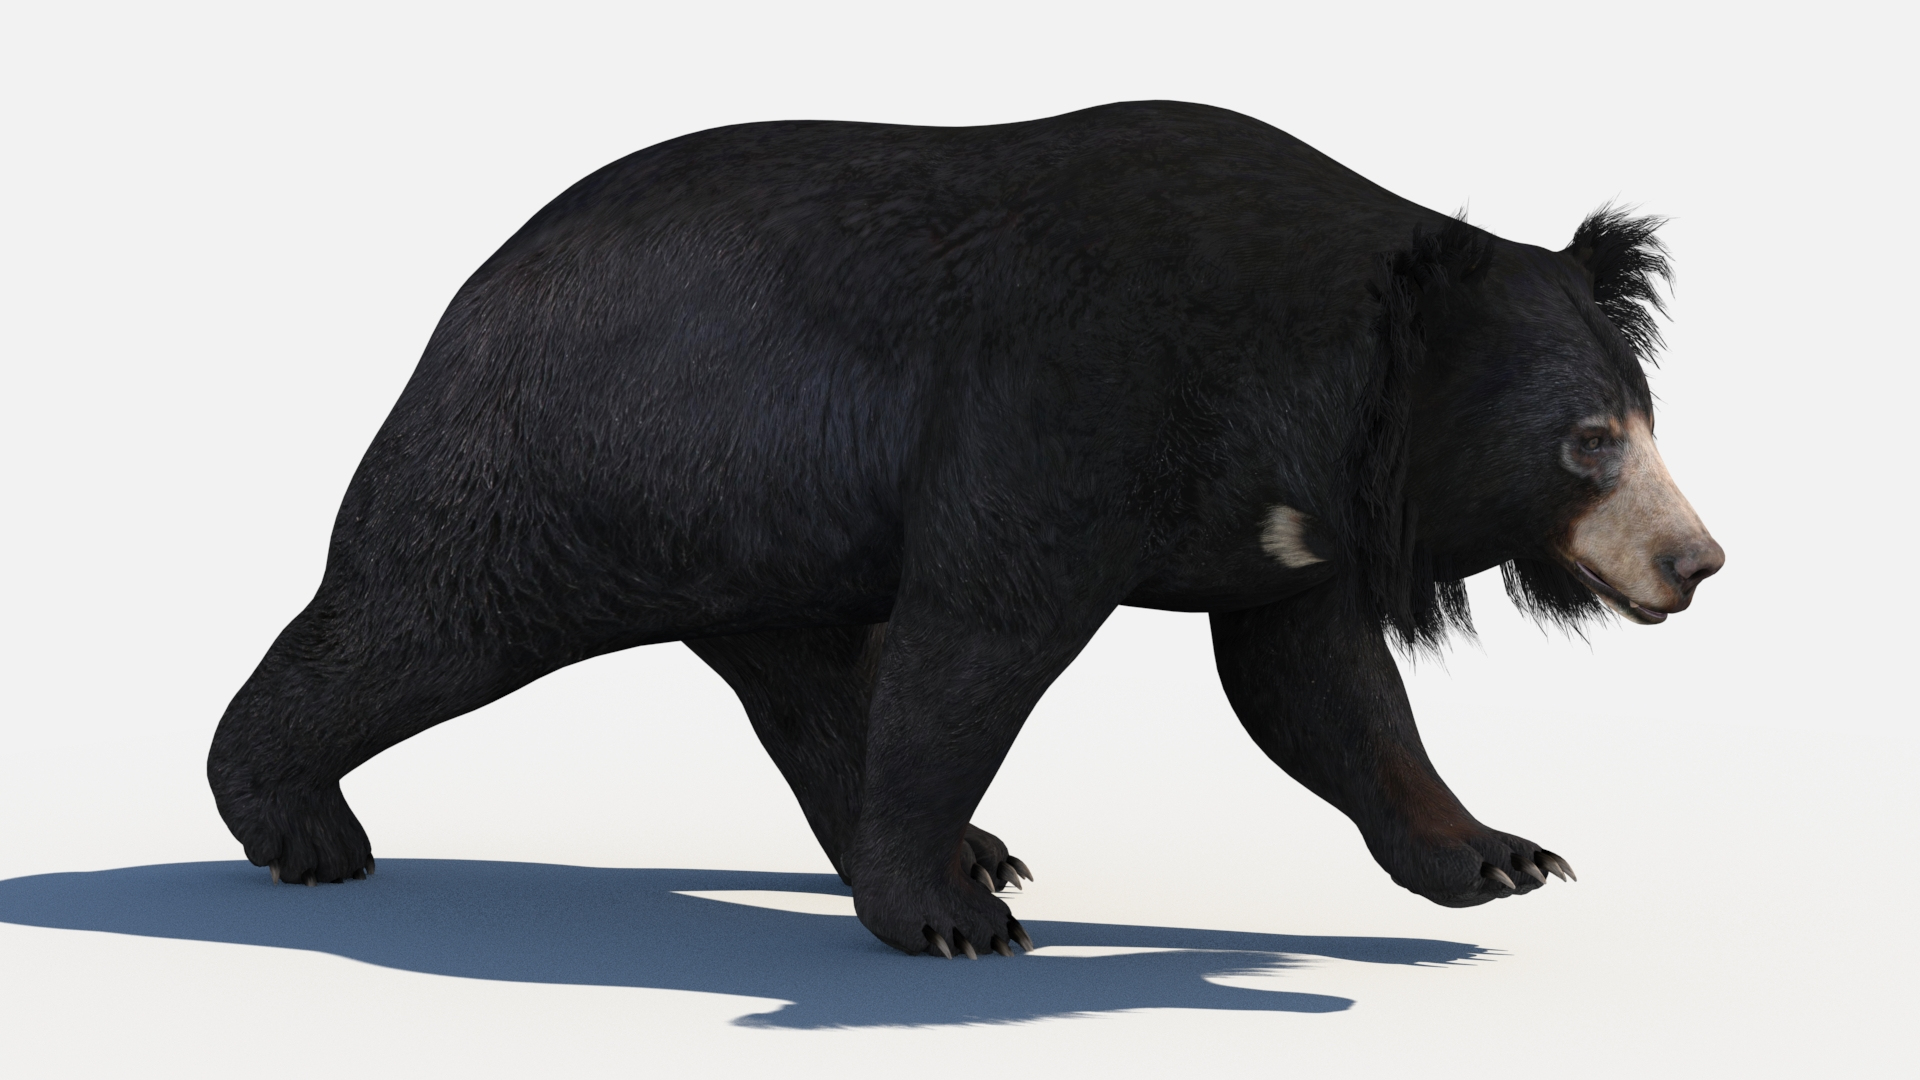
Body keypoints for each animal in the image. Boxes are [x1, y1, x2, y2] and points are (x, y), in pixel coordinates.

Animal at [208, 100, 1724, 959]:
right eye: (1590, 442)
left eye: (1649, 419)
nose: (1697, 562)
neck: (1305, 386)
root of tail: (472, 291)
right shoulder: (1066, 405)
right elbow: (980, 643)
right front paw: (954, 926)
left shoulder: (1283, 525)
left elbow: (1322, 691)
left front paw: (1501, 856)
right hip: (586, 470)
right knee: (416, 618)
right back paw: (298, 825)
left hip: (766, 547)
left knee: (814, 692)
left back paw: (969, 844)